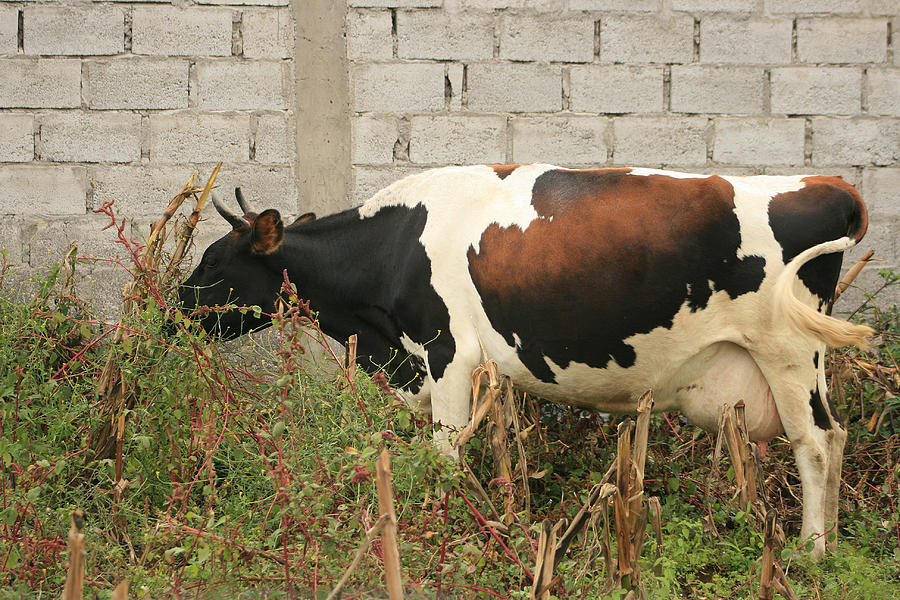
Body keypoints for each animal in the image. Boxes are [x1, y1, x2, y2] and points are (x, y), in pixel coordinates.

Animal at [179, 165, 872, 557]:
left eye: (213, 261)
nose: (169, 311)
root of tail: (830, 186)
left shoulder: (447, 352)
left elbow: (446, 452)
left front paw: (447, 525)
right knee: (832, 439)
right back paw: (830, 542)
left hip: (787, 351)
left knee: (815, 444)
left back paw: (811, 552)